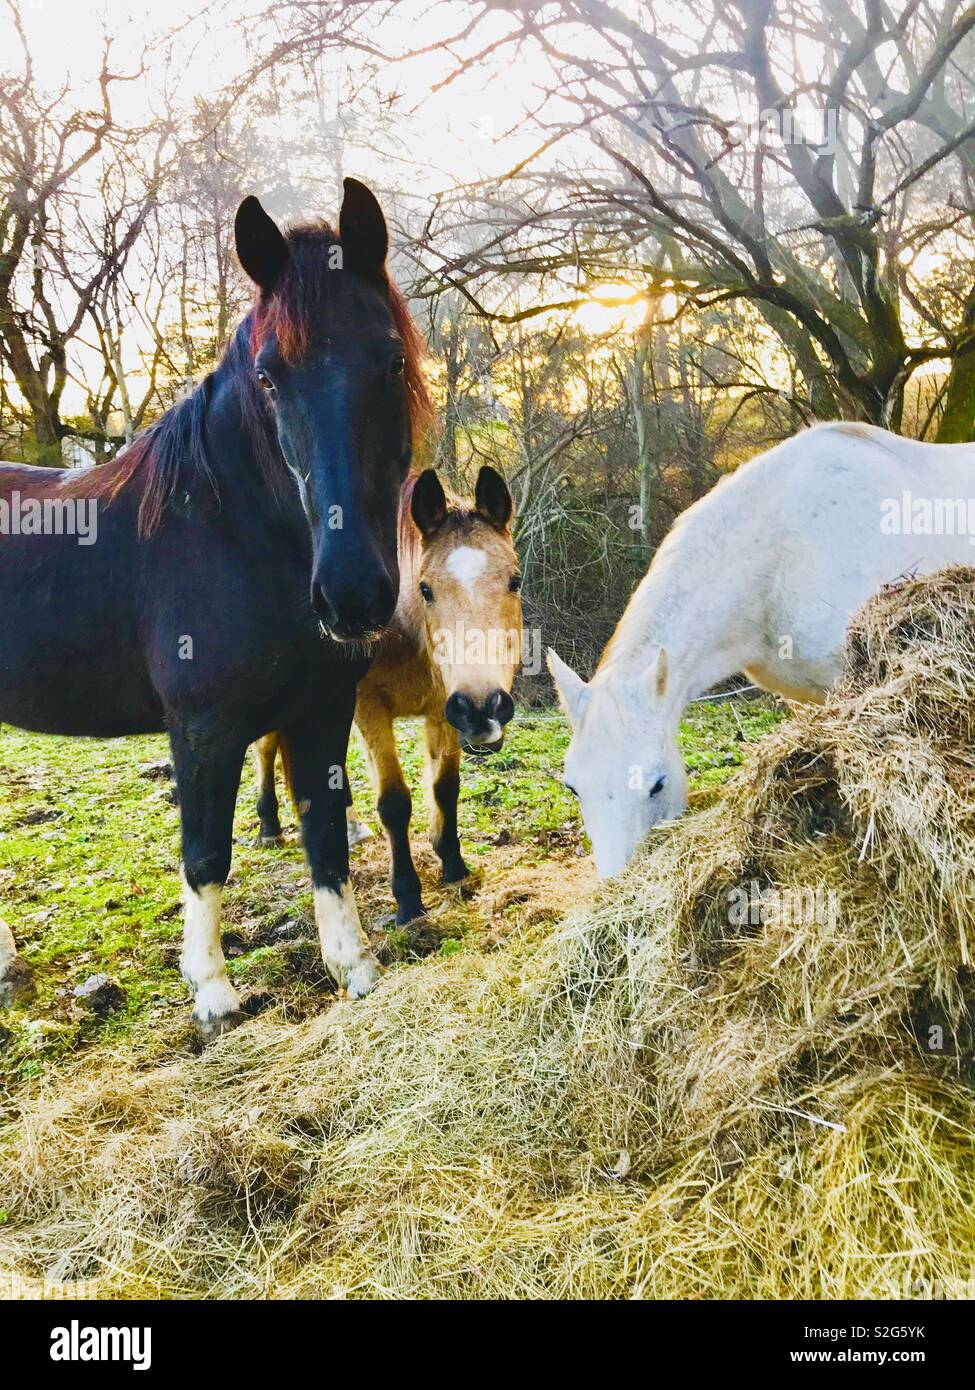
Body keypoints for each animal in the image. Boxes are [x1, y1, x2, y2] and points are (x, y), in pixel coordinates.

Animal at [0, 179, 430, 1033]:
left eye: (391, 359)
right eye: (268, 377)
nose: (351, 593)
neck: (230, 533)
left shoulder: (323, 707)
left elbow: (324, 834)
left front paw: (353, 967)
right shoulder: (203, 725)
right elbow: (205, 853)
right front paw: (213, 989)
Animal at [253, 464, 522, 925]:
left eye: (515, 580)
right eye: (426, 588)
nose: (483, 708)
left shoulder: (441, 711)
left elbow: (445, 787)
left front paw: (452, 864)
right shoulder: (370, 708)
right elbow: (394, 803)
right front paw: (408, 898)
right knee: (267, 748)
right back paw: (269, 825)